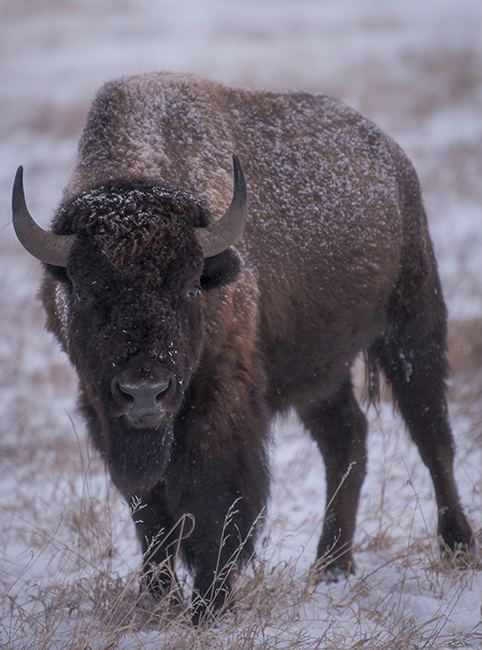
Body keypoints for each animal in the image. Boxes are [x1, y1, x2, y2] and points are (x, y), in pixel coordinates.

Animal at [12, 72, 473, 622]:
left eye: (191, 286)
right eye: (82, 290)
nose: (145, 391)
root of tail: (393, 158)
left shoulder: (223, 401)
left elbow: (217, 499)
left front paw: (210, 605)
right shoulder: (104, 409)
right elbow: (149, 510)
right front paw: (159, 597)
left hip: (412, 325)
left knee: (432, 436)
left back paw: (456, 548)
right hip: (319, 372)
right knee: (347, 440)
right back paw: (330, 567)